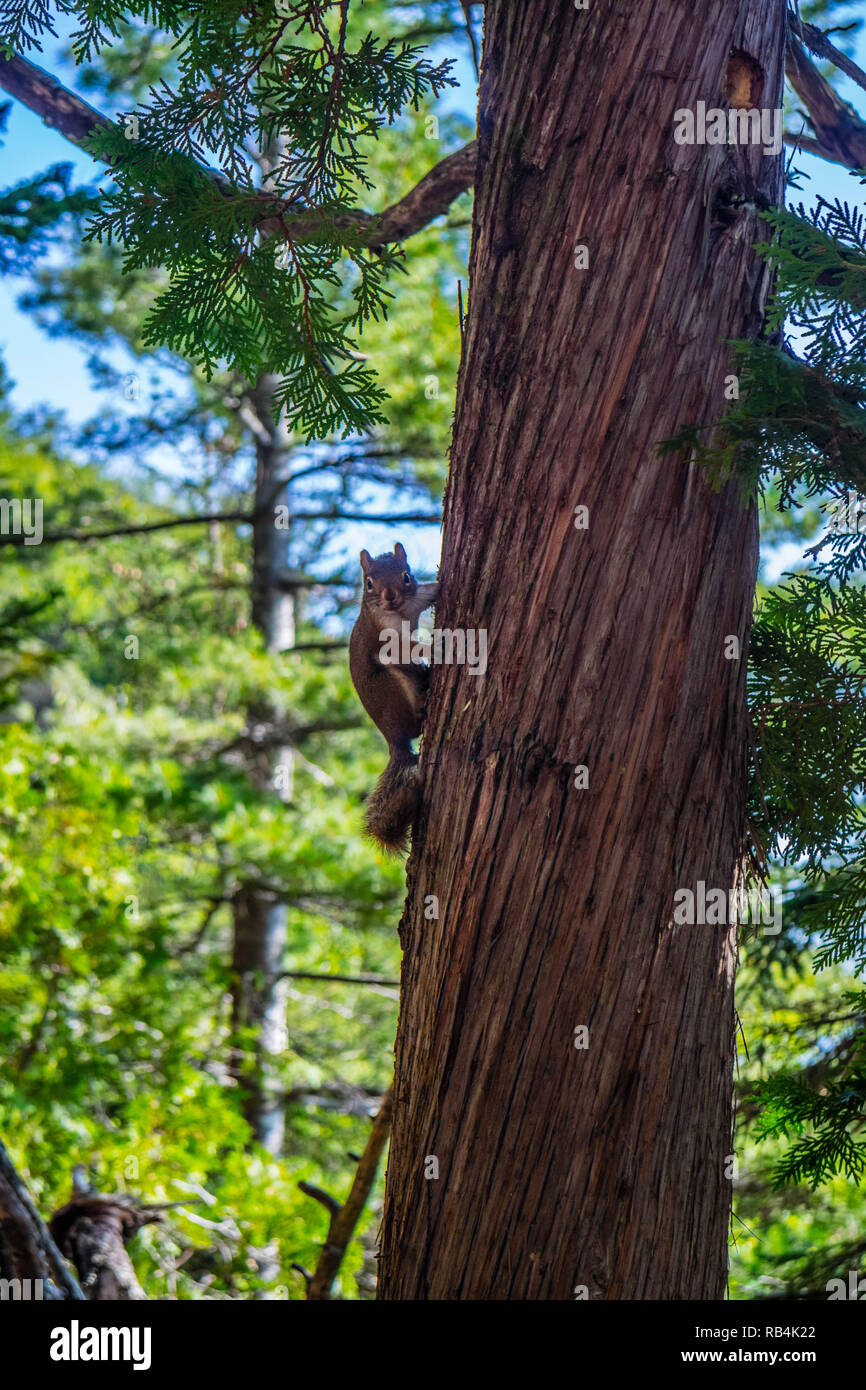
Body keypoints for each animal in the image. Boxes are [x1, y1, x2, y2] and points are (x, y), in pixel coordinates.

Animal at [349, 542, 438, 853]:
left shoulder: (418, 598)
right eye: (369, 583)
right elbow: (409, 648)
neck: (399, 612)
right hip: (391, 687)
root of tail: (393, 740)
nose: (390, 597)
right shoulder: (387, 639)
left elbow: (431, 590)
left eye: (406, 576)